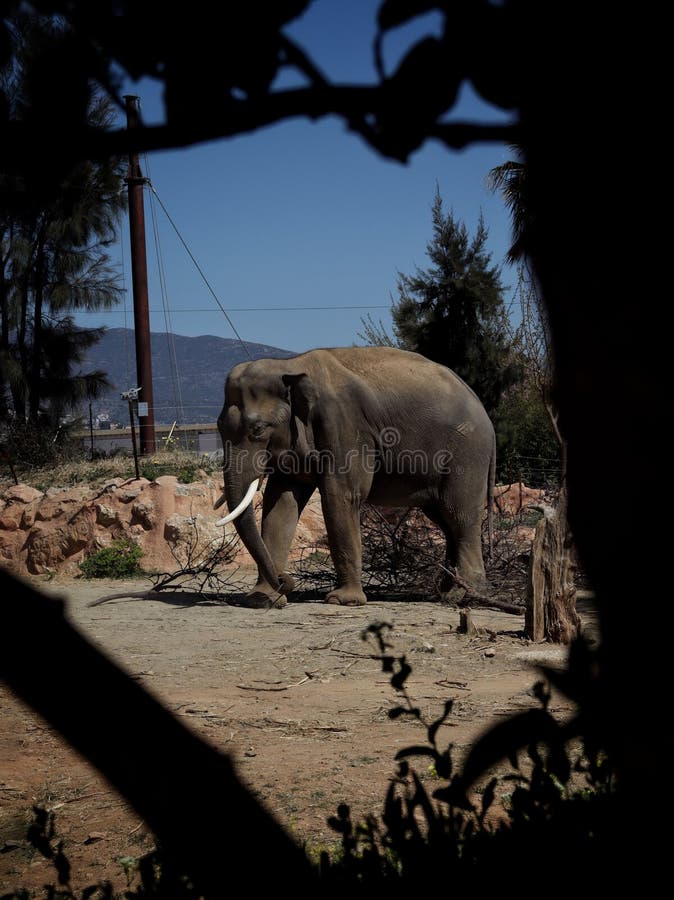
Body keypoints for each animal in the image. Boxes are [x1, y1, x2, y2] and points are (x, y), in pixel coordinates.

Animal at [215, 346, 495, 608]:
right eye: (218, 426)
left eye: (258, 429)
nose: (285, 581)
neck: (291, 366)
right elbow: (280, 503)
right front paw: (261, 600)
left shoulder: (344, 426)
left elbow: (341, 496)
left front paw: (342, 600)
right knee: (445, 520)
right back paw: (445, 591)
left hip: (468, 454)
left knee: (460, 515)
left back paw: (464, 596)